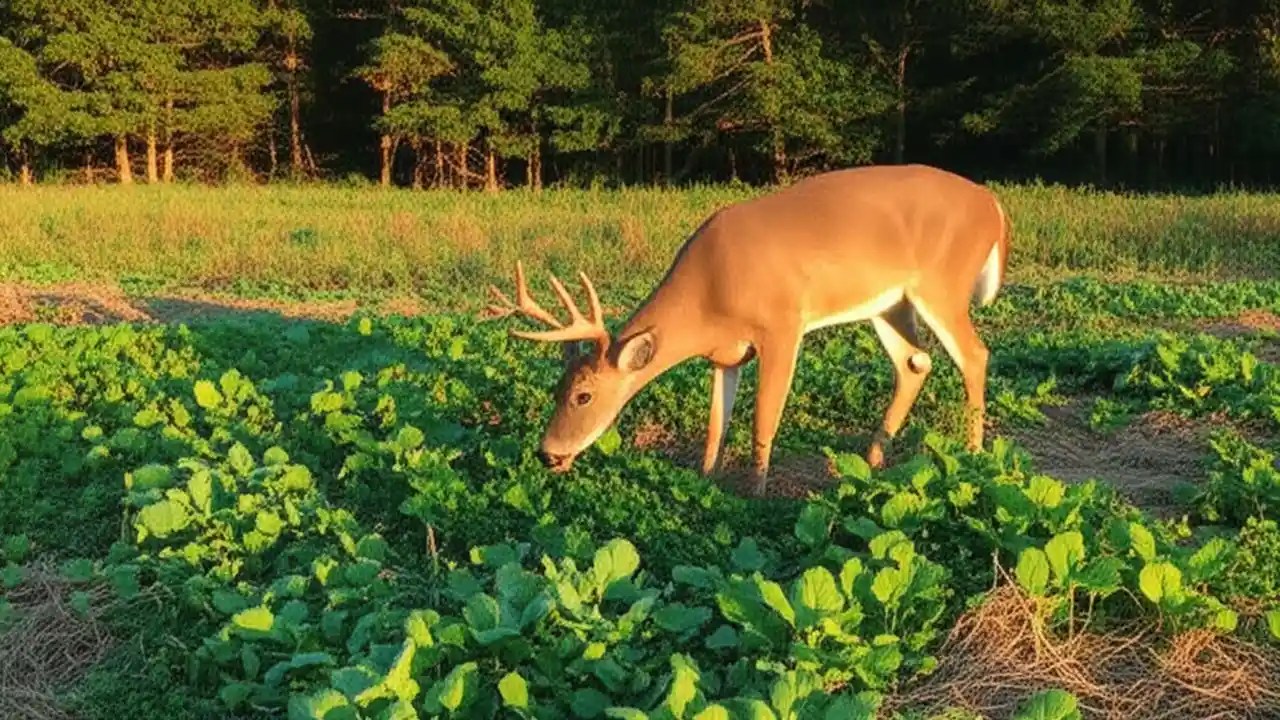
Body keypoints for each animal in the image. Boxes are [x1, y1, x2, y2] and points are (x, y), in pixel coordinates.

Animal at [487, 163, 1010, 496]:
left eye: (584, 396)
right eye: (556, 390)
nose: (547, 454)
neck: (710, 292)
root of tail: (995, 207)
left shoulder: (781, 324)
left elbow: (764, 414)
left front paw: (755, 492)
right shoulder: (727, 351)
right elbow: (717, 421)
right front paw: (705, 478)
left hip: (942, 284)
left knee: (975, 354)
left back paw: (973, 454)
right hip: (889, 304)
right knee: (914, 364)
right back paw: (873, 460)